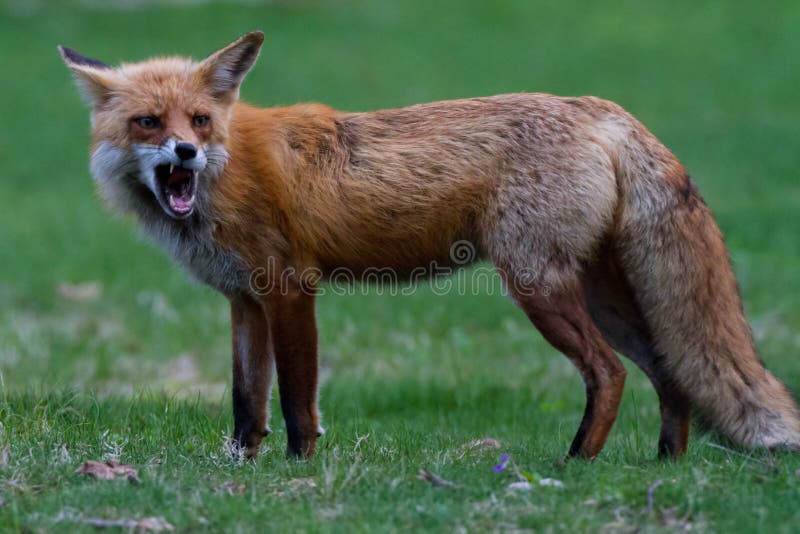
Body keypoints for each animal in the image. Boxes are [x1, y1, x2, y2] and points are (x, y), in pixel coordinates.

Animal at [59, 31, 800, 461]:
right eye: (148, 122)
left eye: (200, 121)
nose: (184, 151)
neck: (228, 168)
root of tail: (601, 108)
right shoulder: (244, 301)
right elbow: (247, 399)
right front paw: (241, 468)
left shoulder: (291, 289)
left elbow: (297, 398)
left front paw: (299, 472)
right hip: (605, 297)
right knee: (671, 373)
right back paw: (667, 465)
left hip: (538, 285)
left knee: (610, 373)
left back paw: (575, 465)